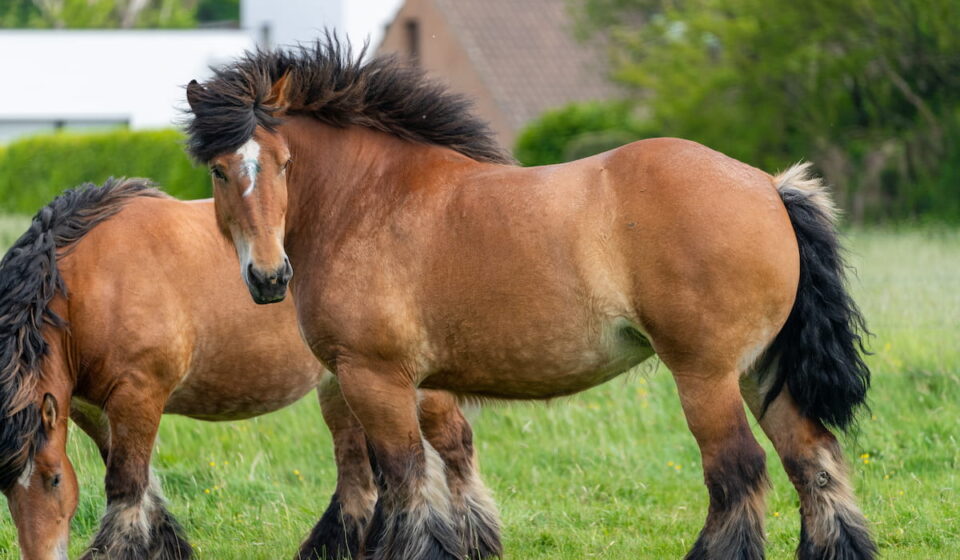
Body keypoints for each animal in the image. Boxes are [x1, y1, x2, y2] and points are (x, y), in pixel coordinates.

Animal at [0, 179, 499, 560]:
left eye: (54, 479)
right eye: (4, 490)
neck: (92, 283)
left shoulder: (138, 394)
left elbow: (125, 484)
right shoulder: (92, 406)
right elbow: (141, 485)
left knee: (453, 444)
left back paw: (476, 541)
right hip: (344, 387)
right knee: (361, 474)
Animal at [183, 39, 876, 560]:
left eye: (283, 163)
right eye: (220, 169)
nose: (268, 278)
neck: (367, 201)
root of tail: (768, 186)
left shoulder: (372, 377)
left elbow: (401, 480)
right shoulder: (418, 382)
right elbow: (440, 464)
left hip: (706, 377)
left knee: (738, 472)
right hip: (761, 372)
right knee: (811, 460)